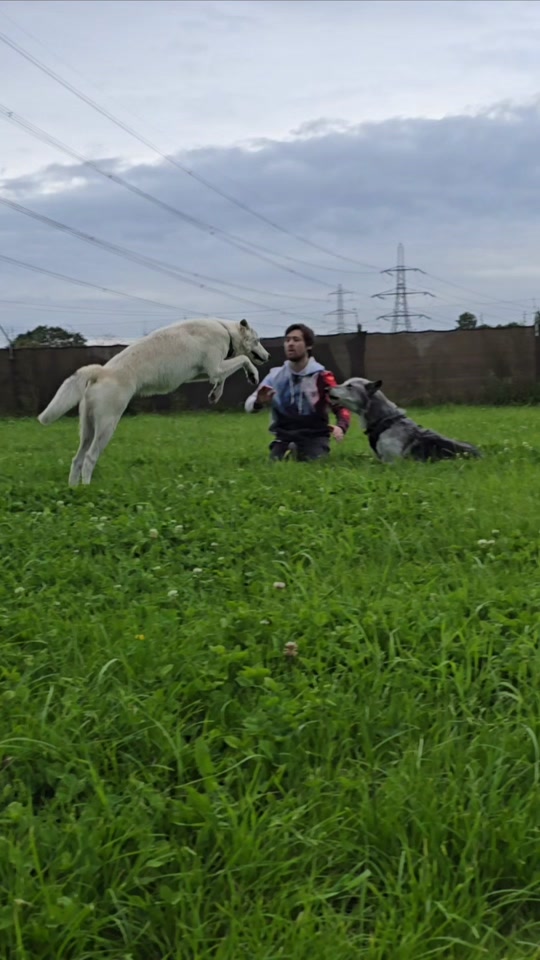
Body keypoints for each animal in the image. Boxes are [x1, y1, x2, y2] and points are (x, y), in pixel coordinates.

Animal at [38, 317, 269, 486]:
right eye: (258, 341)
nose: (267, 356)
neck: (226, 331)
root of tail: (102, 372)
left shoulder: (205, 373)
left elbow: (221, 379)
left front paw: (215, 394)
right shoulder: (215, 367)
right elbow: (243, 360)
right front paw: (253, 375)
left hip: (87, 428)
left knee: (76, 460)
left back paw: (74, 488)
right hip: (106, 427)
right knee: (89, 458)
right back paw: (87, 487)